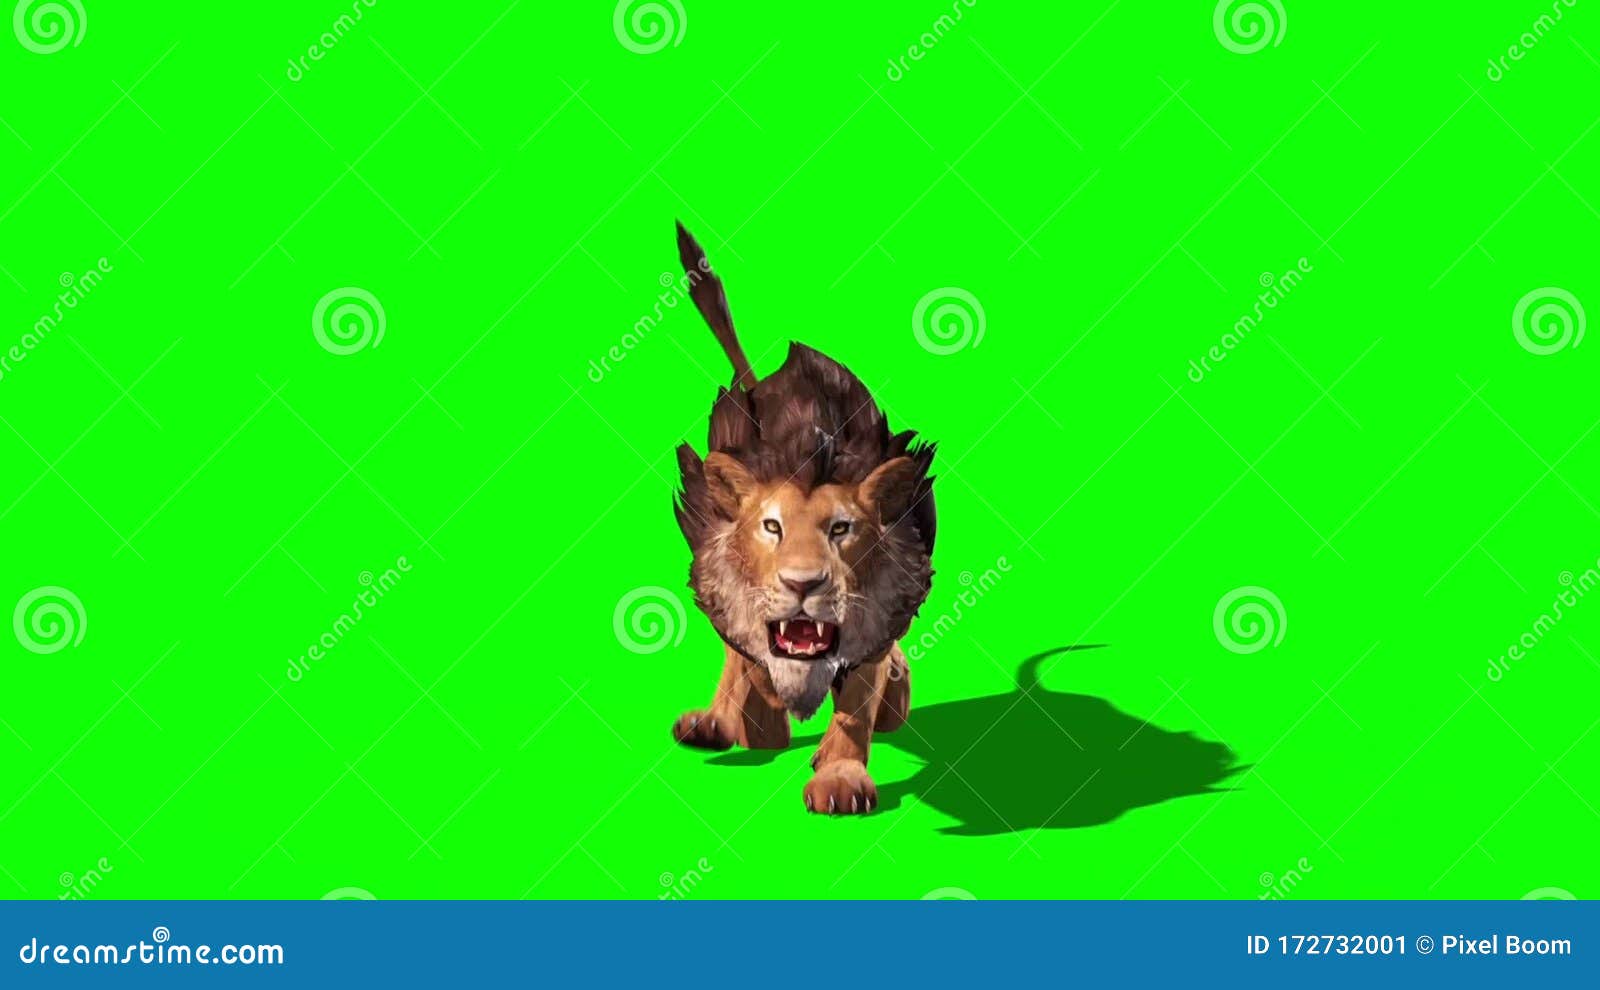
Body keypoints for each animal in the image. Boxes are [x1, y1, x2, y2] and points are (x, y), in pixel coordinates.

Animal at [669, 223, 937, 815]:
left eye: (842, 529)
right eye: (771, 527)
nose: (802, 583)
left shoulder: (874, 622)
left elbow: (855, 708)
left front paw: (839, 776)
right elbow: (749, 662)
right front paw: (757, 720)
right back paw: (717, 721)